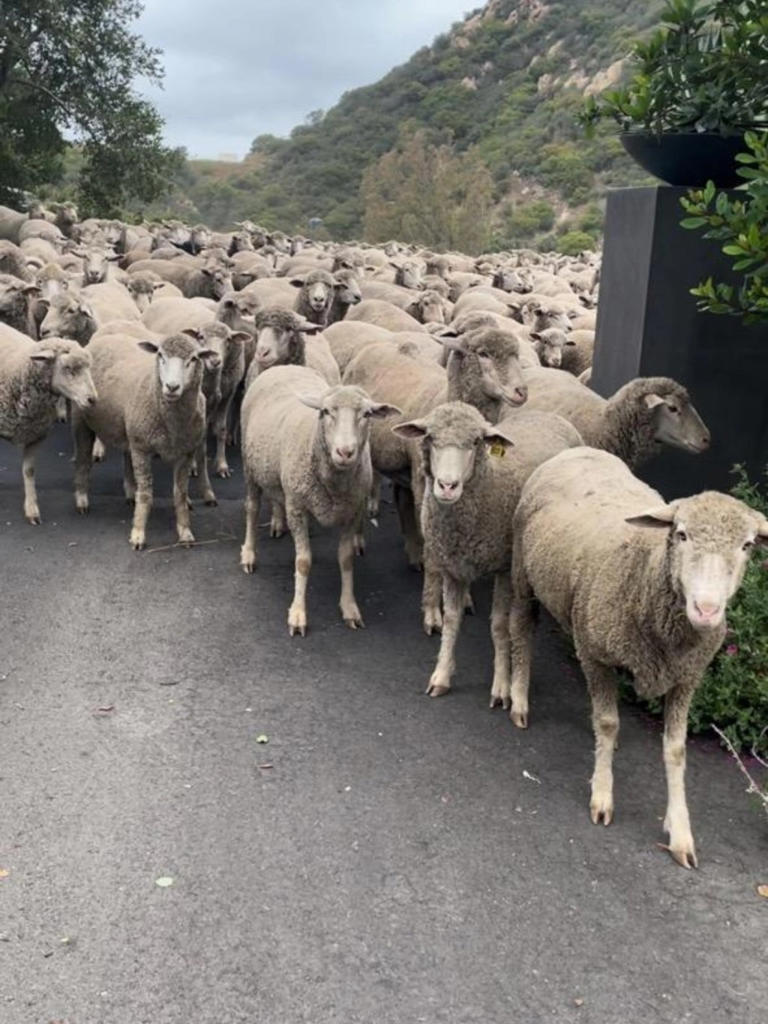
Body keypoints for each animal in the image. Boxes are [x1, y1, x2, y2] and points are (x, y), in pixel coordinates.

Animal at [72, 332, 217, 549]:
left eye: (193, 359)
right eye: (160, 356)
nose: (172, 387)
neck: (172, 425)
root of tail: (104, 337)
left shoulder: (185, 452)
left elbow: (180, 494)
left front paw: (185, 531)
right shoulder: (142, 448)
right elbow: (147, 494)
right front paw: (138, 533)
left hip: (129, 429)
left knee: (126, 455)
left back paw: (130, 492)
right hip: (82, 419)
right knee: (82, 459)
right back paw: (82, 500)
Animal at [239, 364, 399, 635]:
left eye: (367, 414)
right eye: (325, 412)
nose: (345, 452)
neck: (334, 485)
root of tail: (284, 366)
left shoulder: (352, 511)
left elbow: (346, 560)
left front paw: (349, 608)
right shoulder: (297, 507)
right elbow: (303, 562)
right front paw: (298, 614)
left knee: (276, 496)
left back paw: (277, 522)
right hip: (250, 467)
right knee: (251, 509)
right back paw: (249, 554)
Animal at [507, 446, 768, 868]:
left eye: (747, 546)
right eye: (681, 534)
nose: (707, 610)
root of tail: (579, 449)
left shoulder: (686, 679)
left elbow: (675, 749)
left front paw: (680, 832)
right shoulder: (595, 655)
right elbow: (609, 722)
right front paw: (602, 795)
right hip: (521, 572)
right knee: (521, 626)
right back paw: (517, 697)